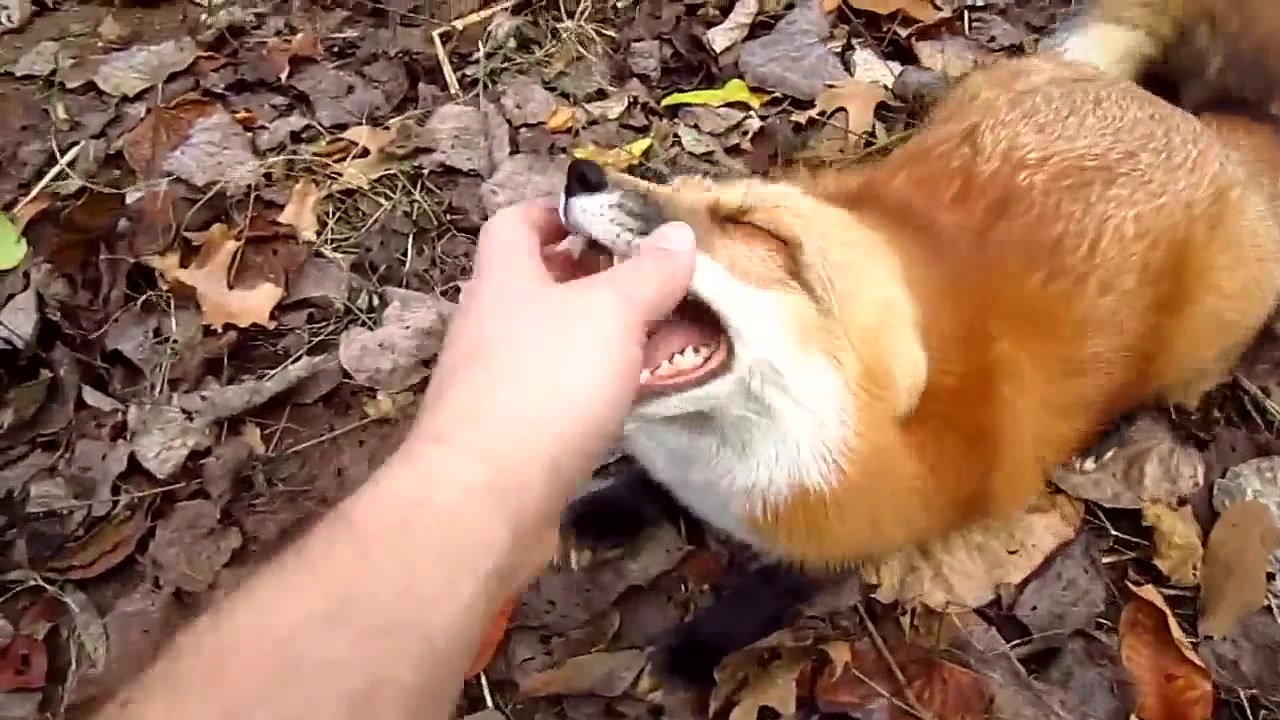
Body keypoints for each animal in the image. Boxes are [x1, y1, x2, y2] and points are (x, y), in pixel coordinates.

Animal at [552, 0, 1280, 690]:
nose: (581, 173)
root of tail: (1211, 126)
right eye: (674, 186)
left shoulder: (860, 535)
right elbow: (649, 486)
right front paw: (612, 505)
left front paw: (696, 650)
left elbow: (766, 595)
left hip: (1195, 350)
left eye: (758, 232)